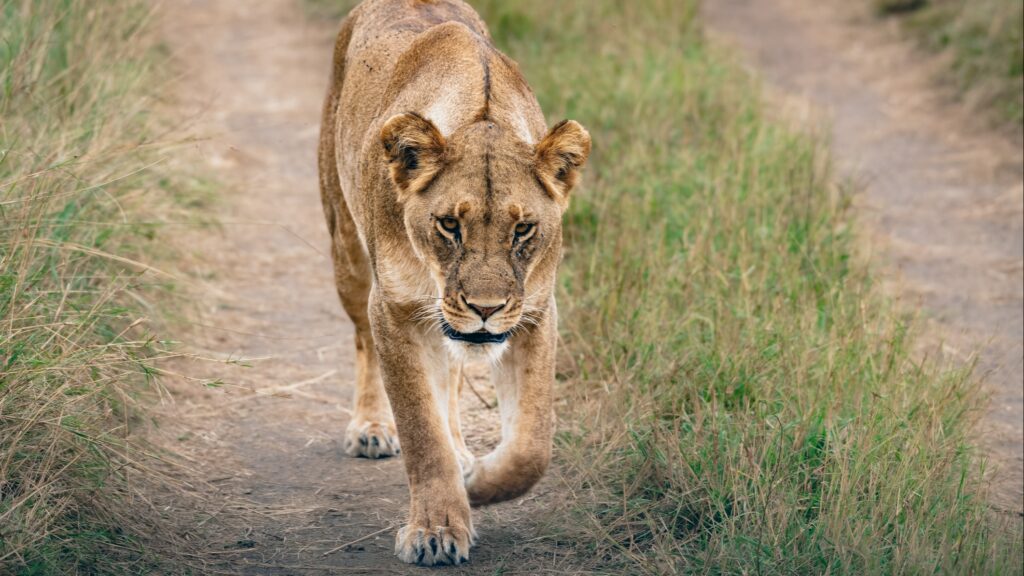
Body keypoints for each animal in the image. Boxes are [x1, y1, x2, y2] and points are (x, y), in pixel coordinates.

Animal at [318, 0, 590, 566]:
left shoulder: (534, 313)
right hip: (347, 252)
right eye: (449, 225)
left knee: (454, 380)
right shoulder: (394, 311)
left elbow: (532, 446)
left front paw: (477, 481)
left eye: (522, 229)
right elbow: (422, 432)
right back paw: (372, 428)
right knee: (362, 343)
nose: (485, 308)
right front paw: (436, 529)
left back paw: (464, 453)